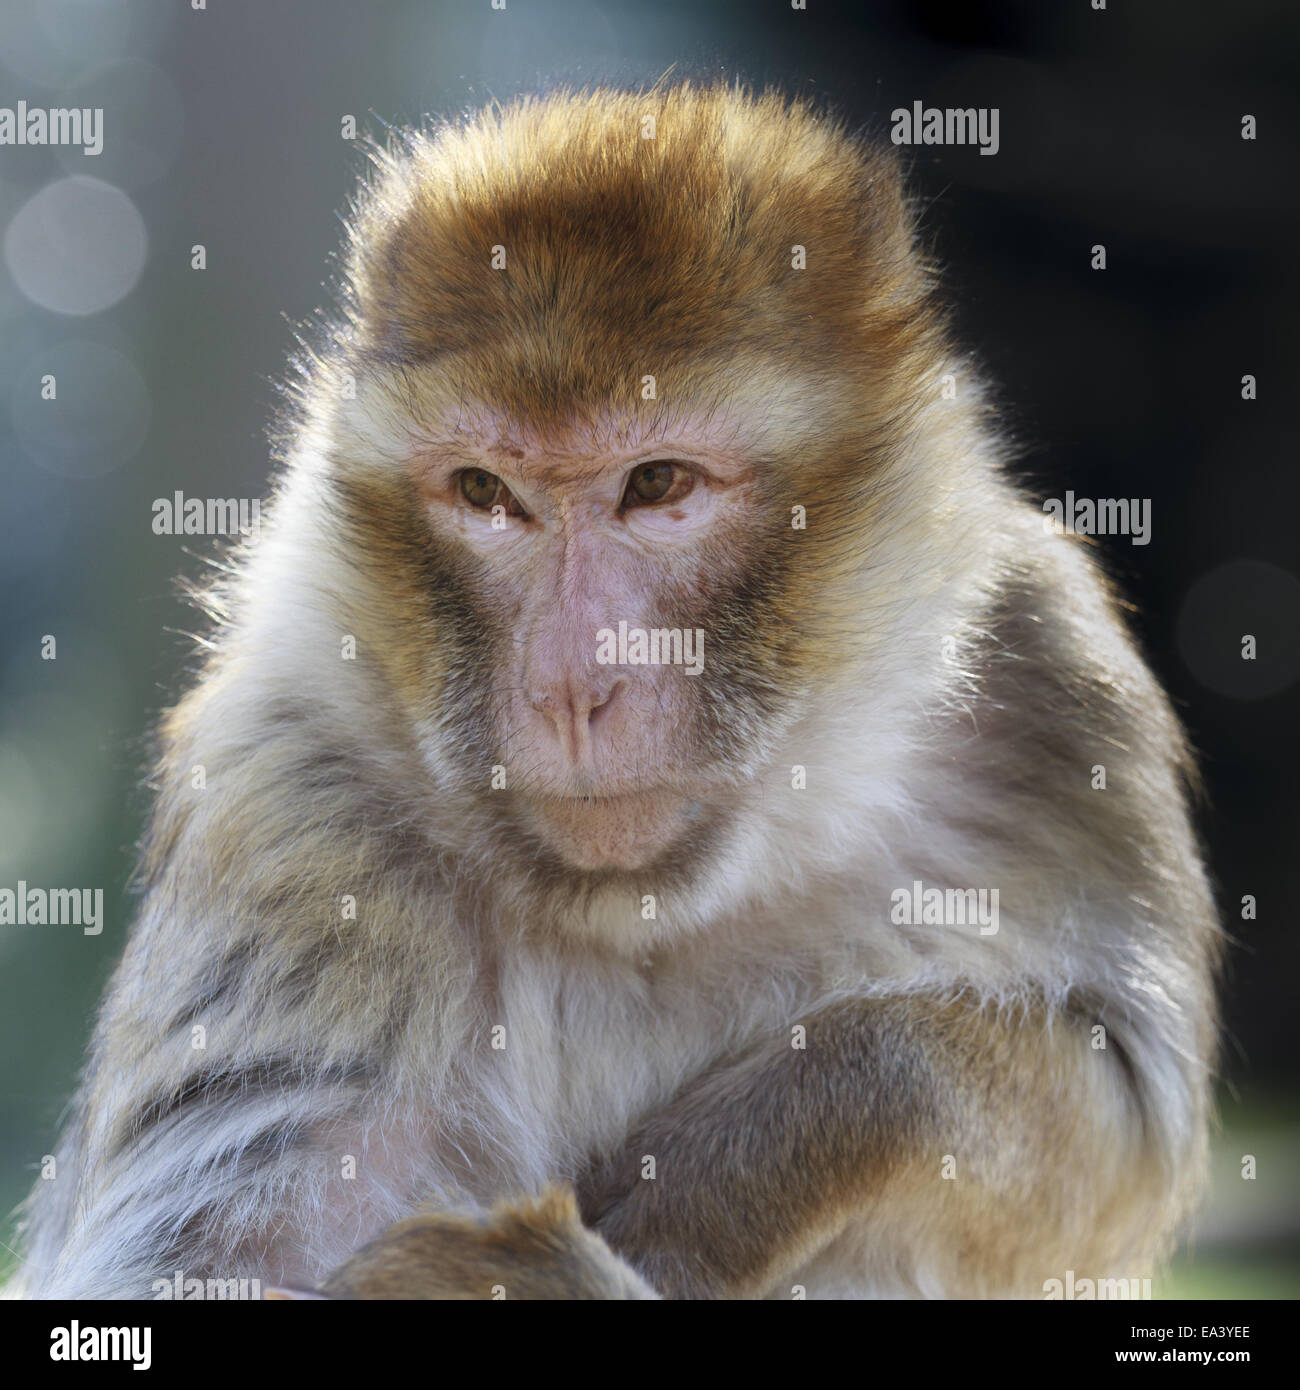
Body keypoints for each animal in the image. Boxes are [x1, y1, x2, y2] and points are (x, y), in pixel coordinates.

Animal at [15, 84, 1220, 1301]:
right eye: (485, 494)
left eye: (656, 483)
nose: (568, 685)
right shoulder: (292, 809)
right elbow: (197, 1268)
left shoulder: (1054, 689)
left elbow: (1129, 1115)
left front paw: (736, 1160)